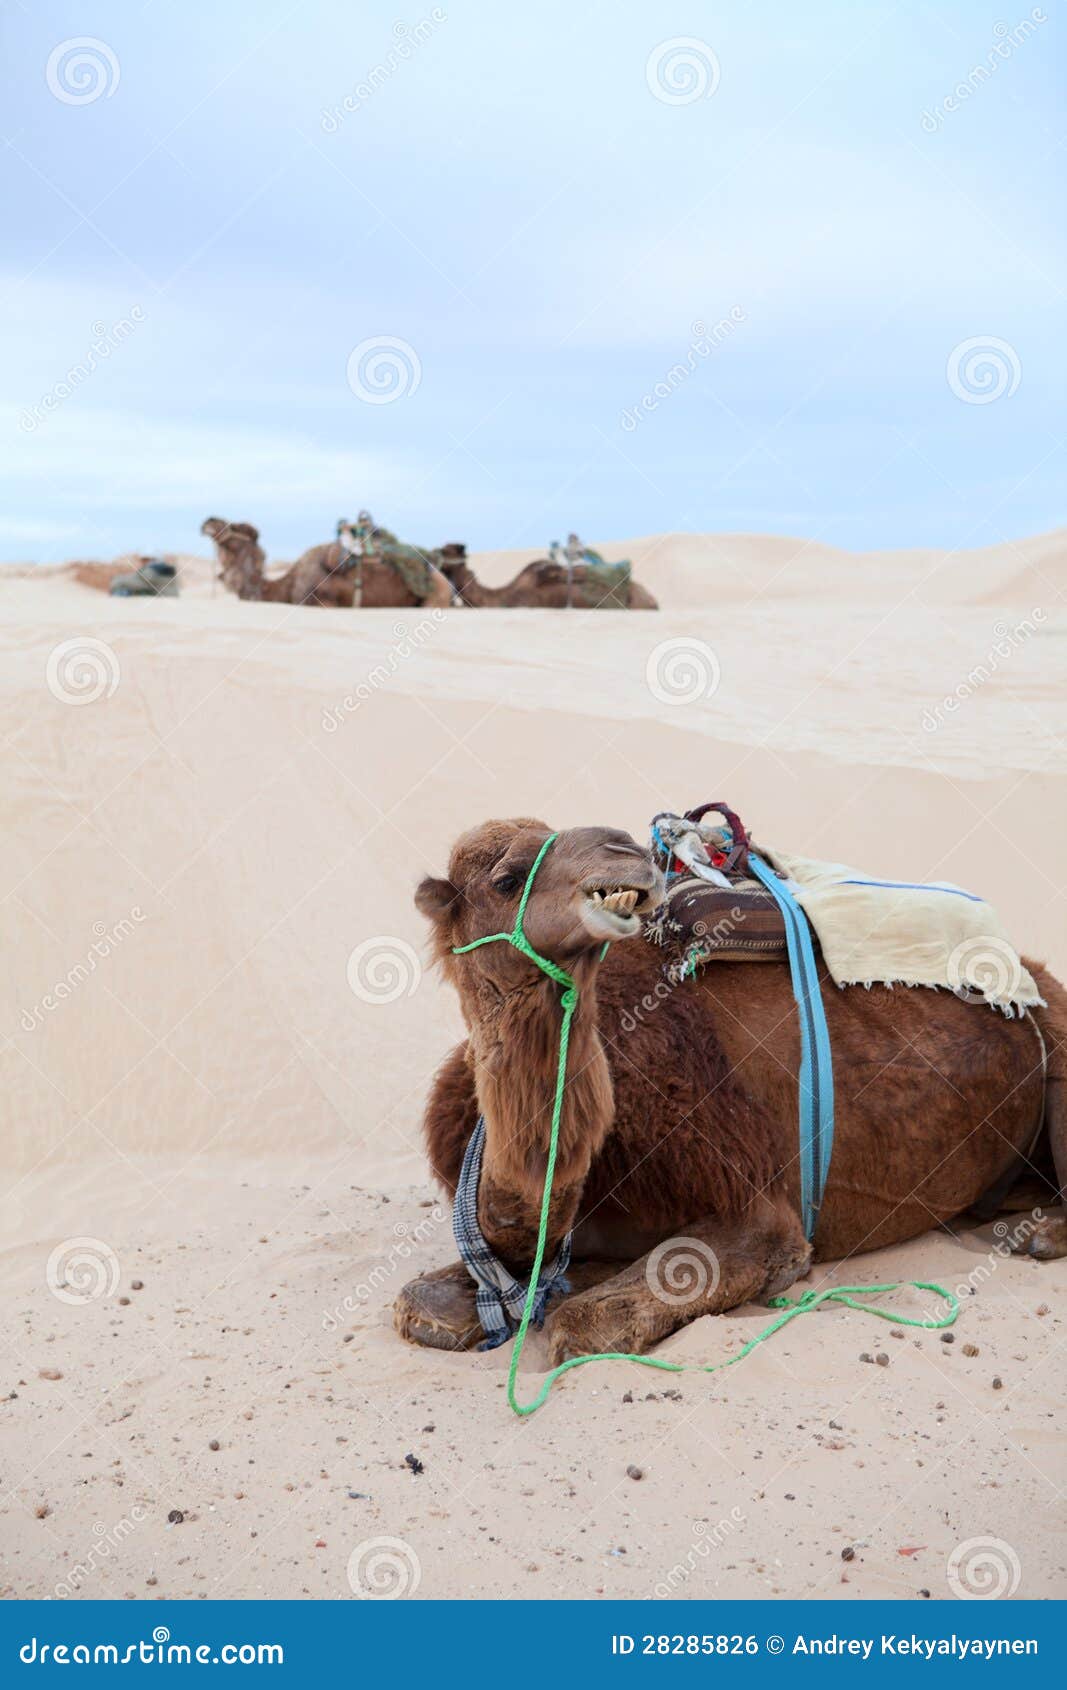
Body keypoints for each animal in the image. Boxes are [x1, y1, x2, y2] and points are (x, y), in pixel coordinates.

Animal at [395, 819, 1066, 1364]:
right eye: (506, 880)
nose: (621, 850)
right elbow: (421, 1301)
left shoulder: (754, 1199)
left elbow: (583, 1321)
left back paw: (1040, 1235)